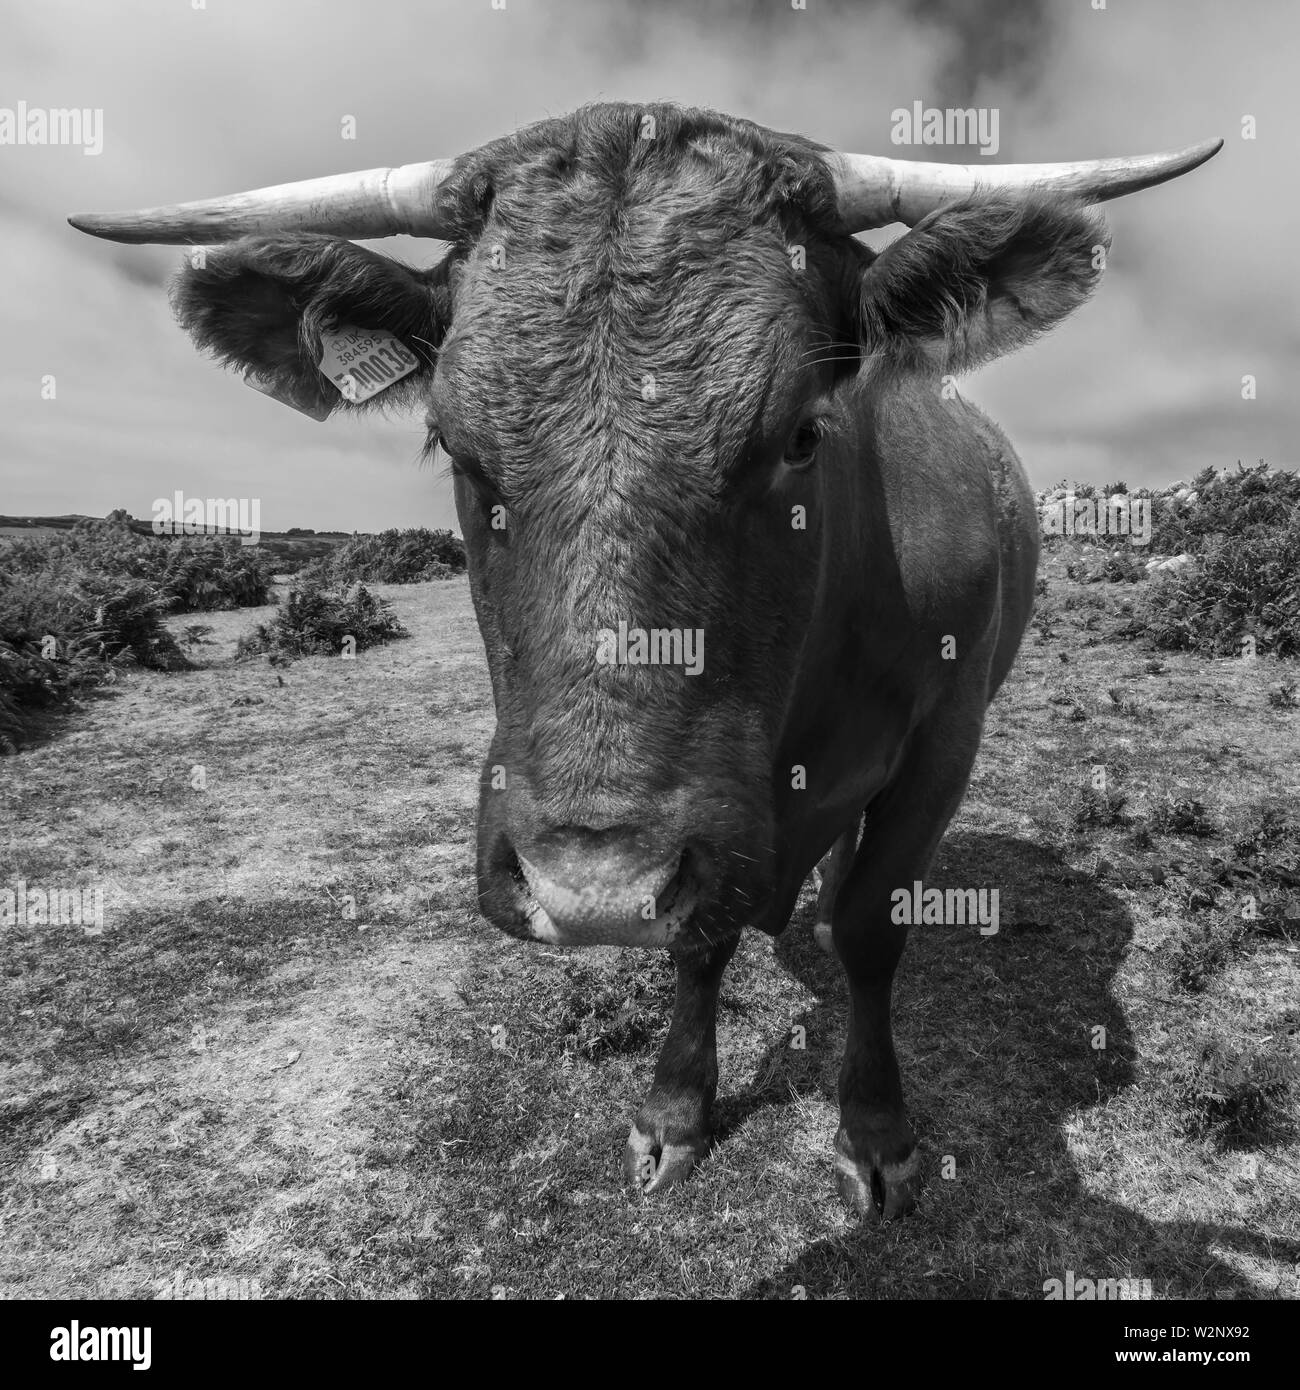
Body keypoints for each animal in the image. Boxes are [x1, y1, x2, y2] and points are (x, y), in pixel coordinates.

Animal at [70, 104, 1219, 1219]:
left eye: (803, 434)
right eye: (453, 446)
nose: (589, 888)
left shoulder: (945, 742)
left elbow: (870, 929)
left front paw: (876, 1131)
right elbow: (700, 942)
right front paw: (674, 1110)